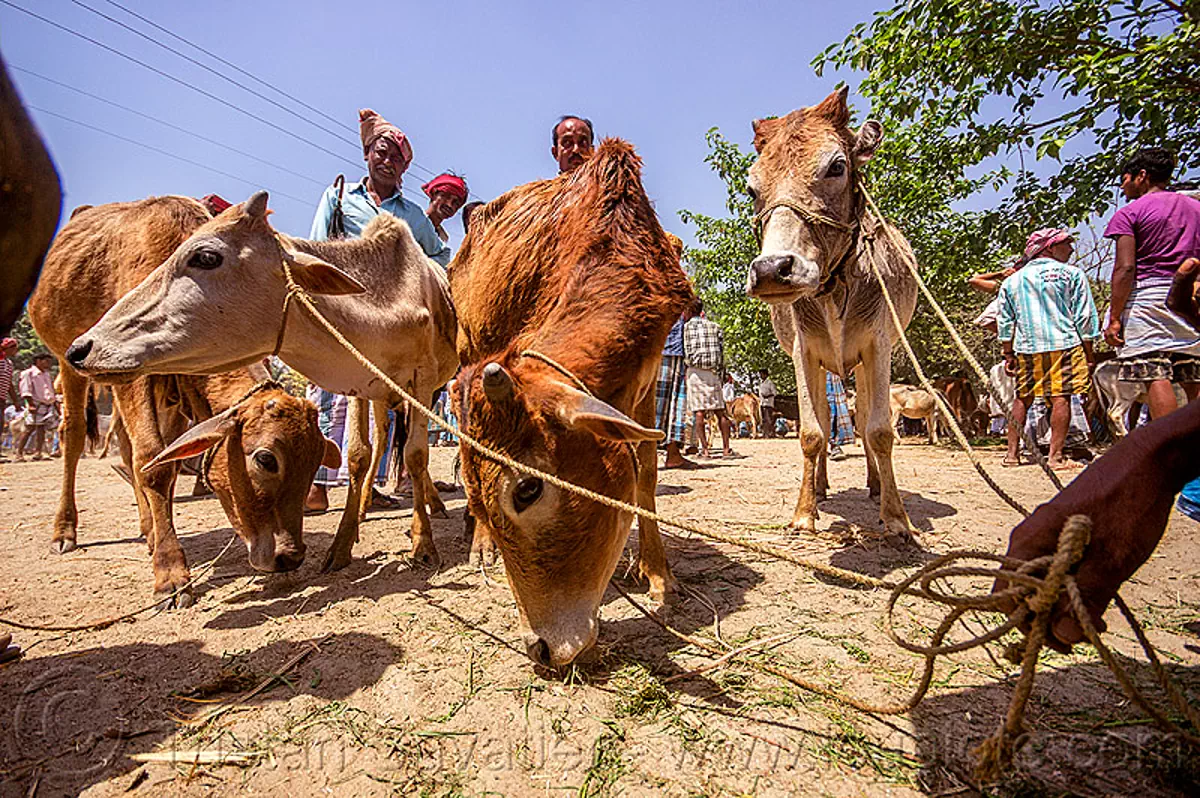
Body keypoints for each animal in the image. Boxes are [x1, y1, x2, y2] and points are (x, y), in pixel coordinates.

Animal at [27, 197, 339, 603]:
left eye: (316, 461)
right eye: (266, 459)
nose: (291, 557)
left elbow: (163, 460)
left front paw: (161, 541)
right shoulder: (128, 372)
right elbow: (154, 464)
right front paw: (171, 571)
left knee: (127, 446)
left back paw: (148, 528)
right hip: (69, 365)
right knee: (76, 437)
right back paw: (65, 530)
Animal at [64, 192, 459, 573]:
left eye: (206, 257)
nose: (81, 348)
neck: (387, 297)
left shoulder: (424, 383)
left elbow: (416, 454)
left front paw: (423, 544)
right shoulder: (361, 384)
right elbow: (360, 456)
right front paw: (342, 542)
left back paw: (433, 503)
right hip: (382, 397)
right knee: (382, 442)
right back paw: (366, 506)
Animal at [449, 139, 693, 668]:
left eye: (527, 490)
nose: (537, 647)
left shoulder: (648, 373)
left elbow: (646, 472)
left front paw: (658, 574)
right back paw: (480, 550)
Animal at [744, 88, 919, 536]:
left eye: (837, 166)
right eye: (752, 188)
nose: (772, 269)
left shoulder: (878, 346)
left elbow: (879, 431)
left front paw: (896, 517)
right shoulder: (803, 352)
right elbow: (811, 432)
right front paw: (804, 512)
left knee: (863, 421)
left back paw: (874, 485)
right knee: (825, 418)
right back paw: (821, 487)